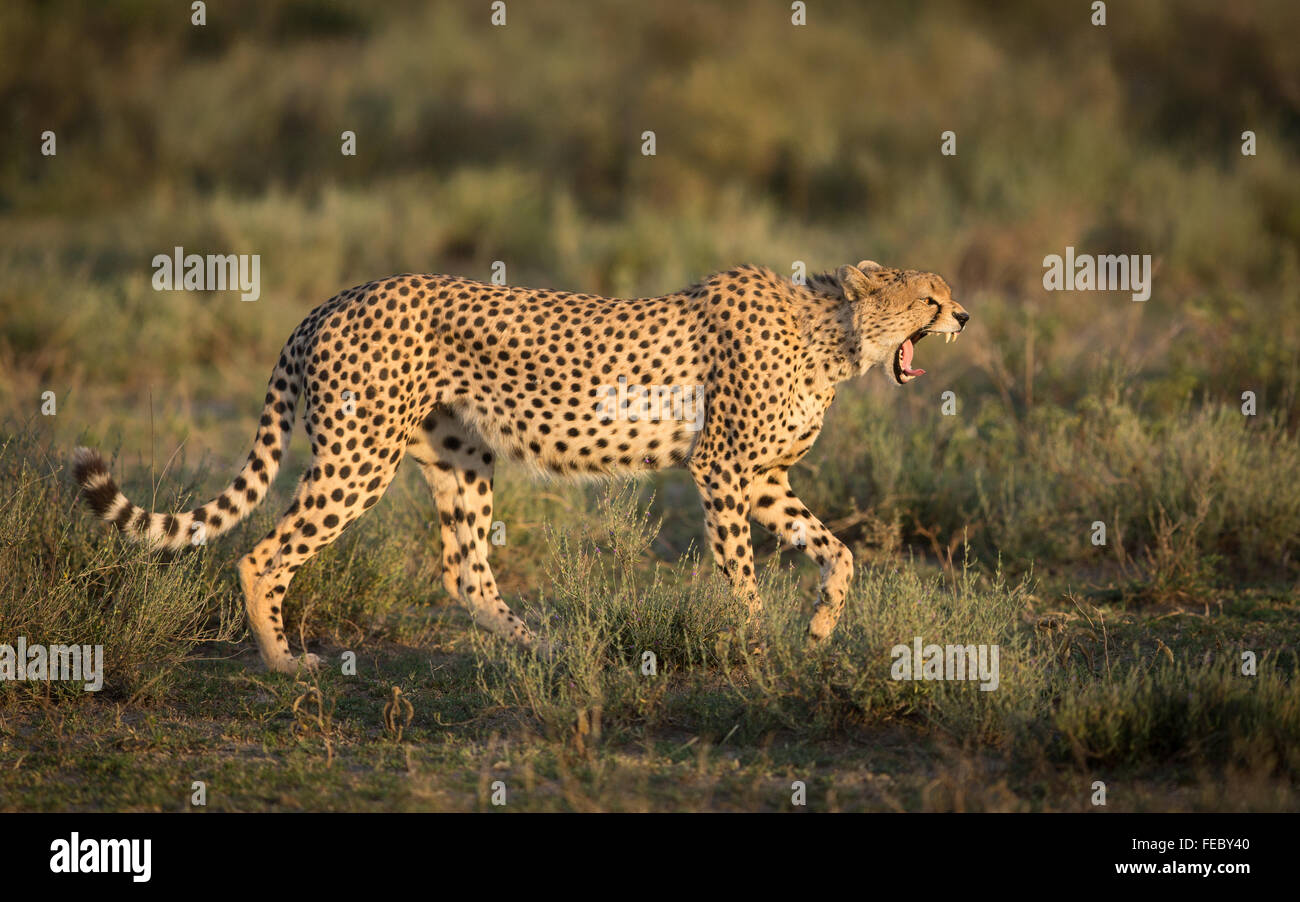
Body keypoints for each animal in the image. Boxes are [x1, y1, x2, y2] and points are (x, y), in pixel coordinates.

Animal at [73, 260, 968, 673]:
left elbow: (839, 553)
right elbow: (742, 573)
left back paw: (547, 649)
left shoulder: (765, 479)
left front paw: (816, 630)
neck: (834, 337)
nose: (962, 314)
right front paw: (755, 645)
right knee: (263, 552)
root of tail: (335, 298)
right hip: (359, 457)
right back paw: (284, 662)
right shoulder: (722, 470)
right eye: (928, 296)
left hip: (459, 458)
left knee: (465, 573)